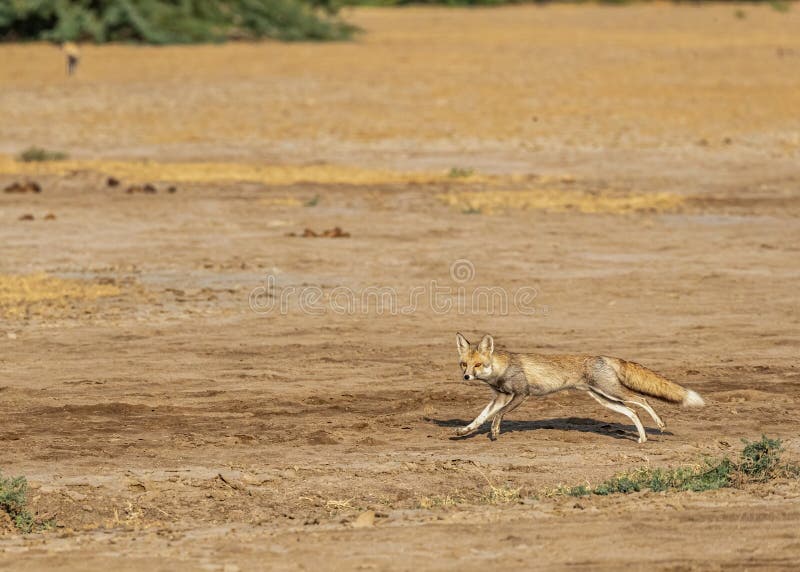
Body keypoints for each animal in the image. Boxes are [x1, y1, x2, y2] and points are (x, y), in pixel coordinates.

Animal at [455, 333, 705, 443]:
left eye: (478, 365)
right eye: (464, 364)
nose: (466, 377)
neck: (500, 369)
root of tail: (603, 356)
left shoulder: (521, 394)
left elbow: (498, 415)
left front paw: (495, 431)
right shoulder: (500, 396)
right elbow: (481, 416)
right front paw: (465, 431)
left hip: (611, 391)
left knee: (642, 401)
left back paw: (660, 425)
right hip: (603, 398)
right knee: (632, 410)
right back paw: (642, 438)